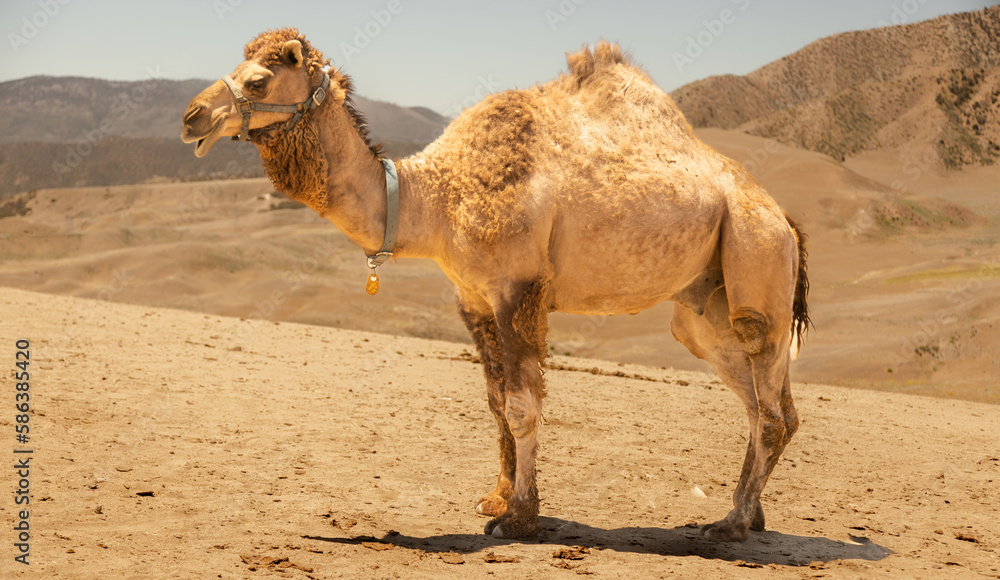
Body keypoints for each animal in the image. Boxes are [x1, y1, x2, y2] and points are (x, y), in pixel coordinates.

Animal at [181, 29, 811, 543]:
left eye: (259, 78)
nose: (191, 115)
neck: (434, 198)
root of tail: (785, 218)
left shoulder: (519, 289)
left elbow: (522, 405)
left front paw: (522, 518)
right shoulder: (475, 299)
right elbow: (493, 403)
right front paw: (498, 498)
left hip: (756, 262)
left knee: (771, 406)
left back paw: (730, 524)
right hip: (705, 308)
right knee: (763, 402)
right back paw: (749, 513)